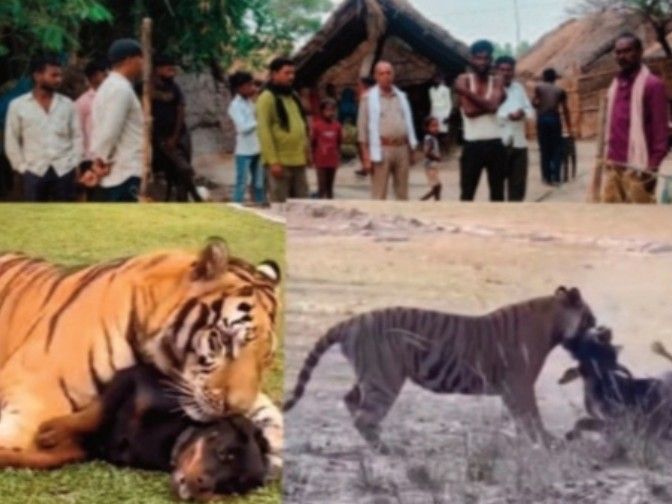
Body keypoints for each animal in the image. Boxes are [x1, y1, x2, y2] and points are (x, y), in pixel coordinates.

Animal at [284, 286, 596, 451]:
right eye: (589, 318)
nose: (599, 328)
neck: (553, 322)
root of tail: (351, 321)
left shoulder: (512, 390)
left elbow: (521, 419)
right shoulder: (519, 385)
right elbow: (531, 416)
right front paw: (546, 441)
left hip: (370, 375)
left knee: (351, 400)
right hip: (385, 378)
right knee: (364, 416)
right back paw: (386, 450)